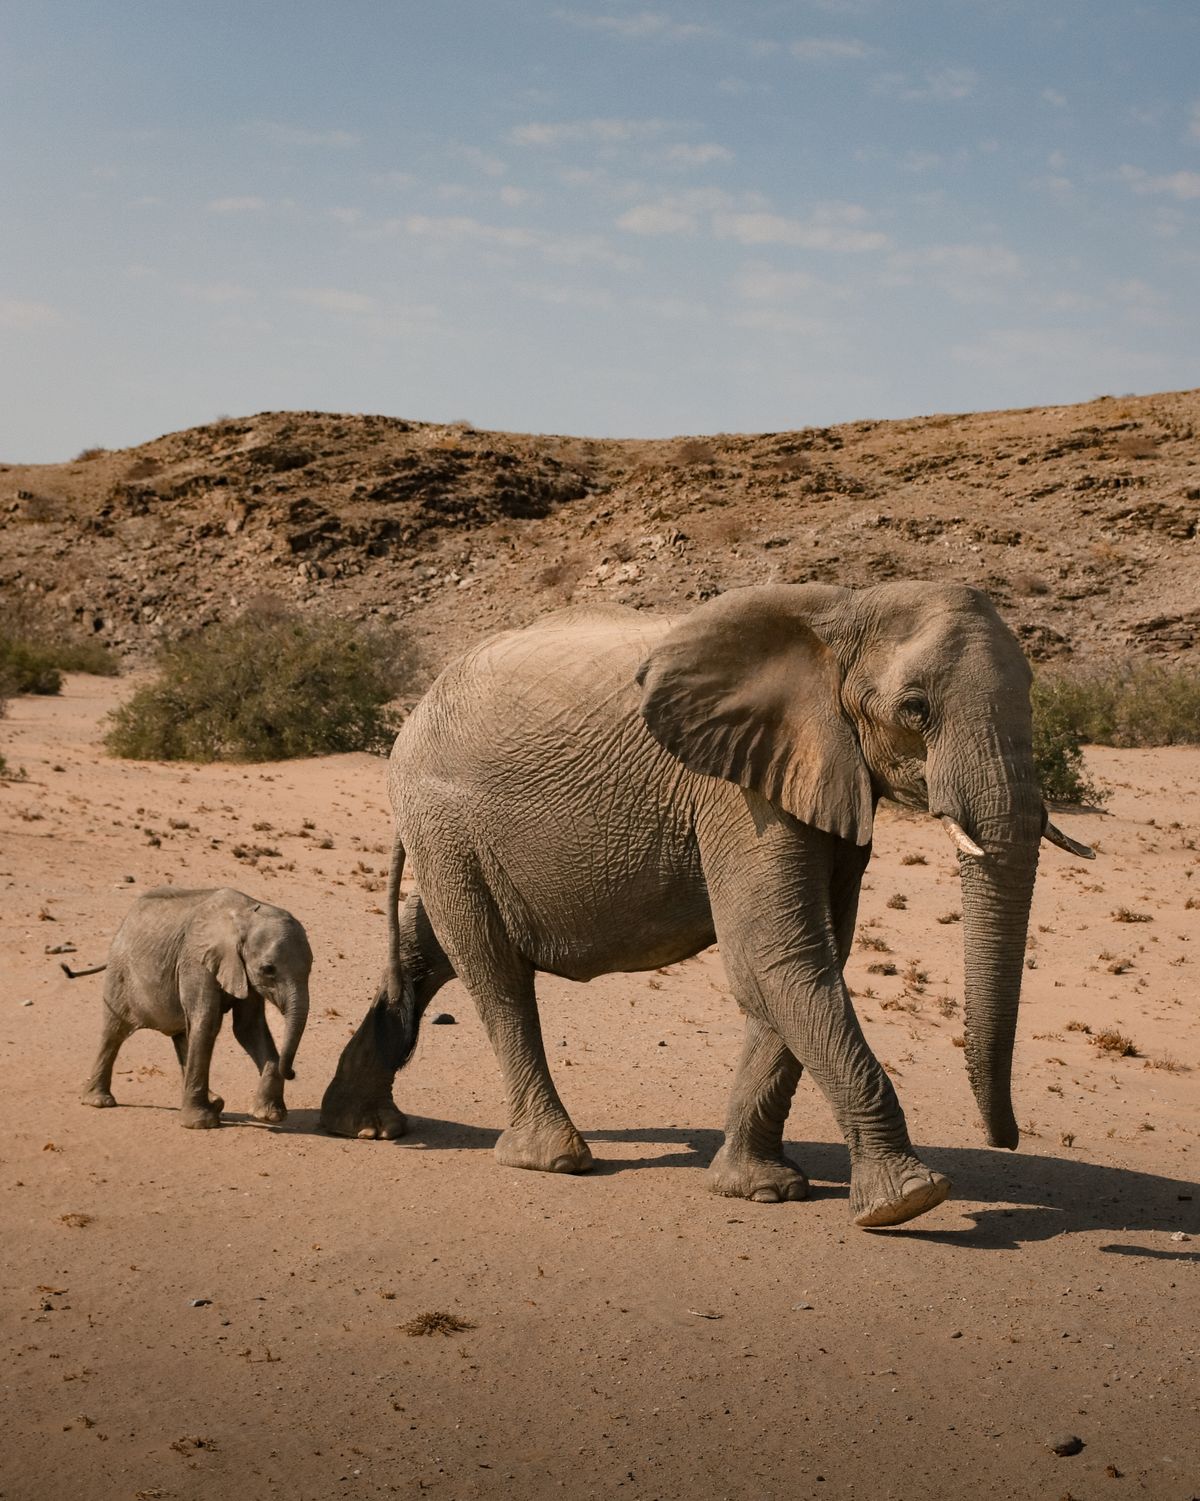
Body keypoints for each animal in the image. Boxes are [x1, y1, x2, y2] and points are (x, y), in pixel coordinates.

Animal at [80, 887, 312, 1128]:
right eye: (268, 969)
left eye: (311, 967)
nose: (292, 1073)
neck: (244, 915)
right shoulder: (196, 961)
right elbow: (207, 1021)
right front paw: (201, 1124)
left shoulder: (241, 971)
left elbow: (248, 1028)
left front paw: (269, 1116)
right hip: (119, 975)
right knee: (114, 1032)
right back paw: (99, 1101)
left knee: (183, 1034)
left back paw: (215, 1102)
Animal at [319, 583, 1093, 1226]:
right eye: (915, 710)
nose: (1007, 1138)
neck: (840, 613)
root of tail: (419, 702)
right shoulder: (734, 789)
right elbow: (778, 955)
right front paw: (908, 1200)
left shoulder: (821, 772)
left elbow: (804, 960)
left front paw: (759, 1190)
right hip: (442, 814)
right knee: (492, 968)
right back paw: (554, 1157)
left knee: (429, 949)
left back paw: (362, 1125)